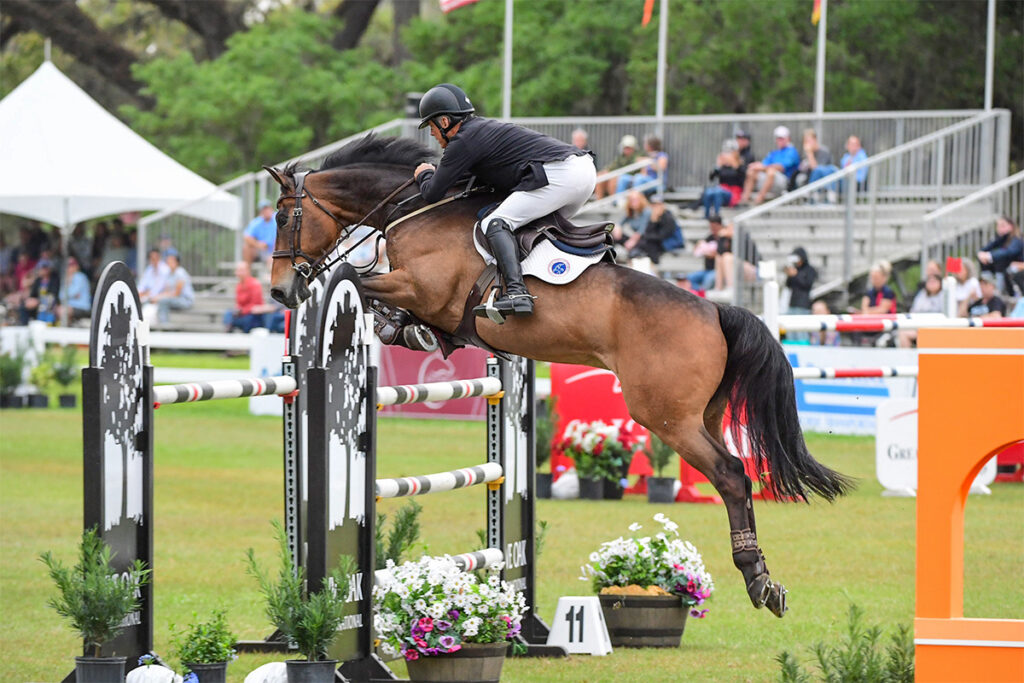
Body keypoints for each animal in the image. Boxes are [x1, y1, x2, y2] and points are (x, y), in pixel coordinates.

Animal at [266, 135, 852, 618]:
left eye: (282, 217)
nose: (279, 291)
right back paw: (765, 580)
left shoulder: (419, 287)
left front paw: (385, 318)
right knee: (733, 474)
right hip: (701, 414)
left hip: (666, 417)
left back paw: (757, 581)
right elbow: (386, 303)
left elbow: (357, 280)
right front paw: (412, 334)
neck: (417, 209)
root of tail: (714, 310)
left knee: (731, 475)